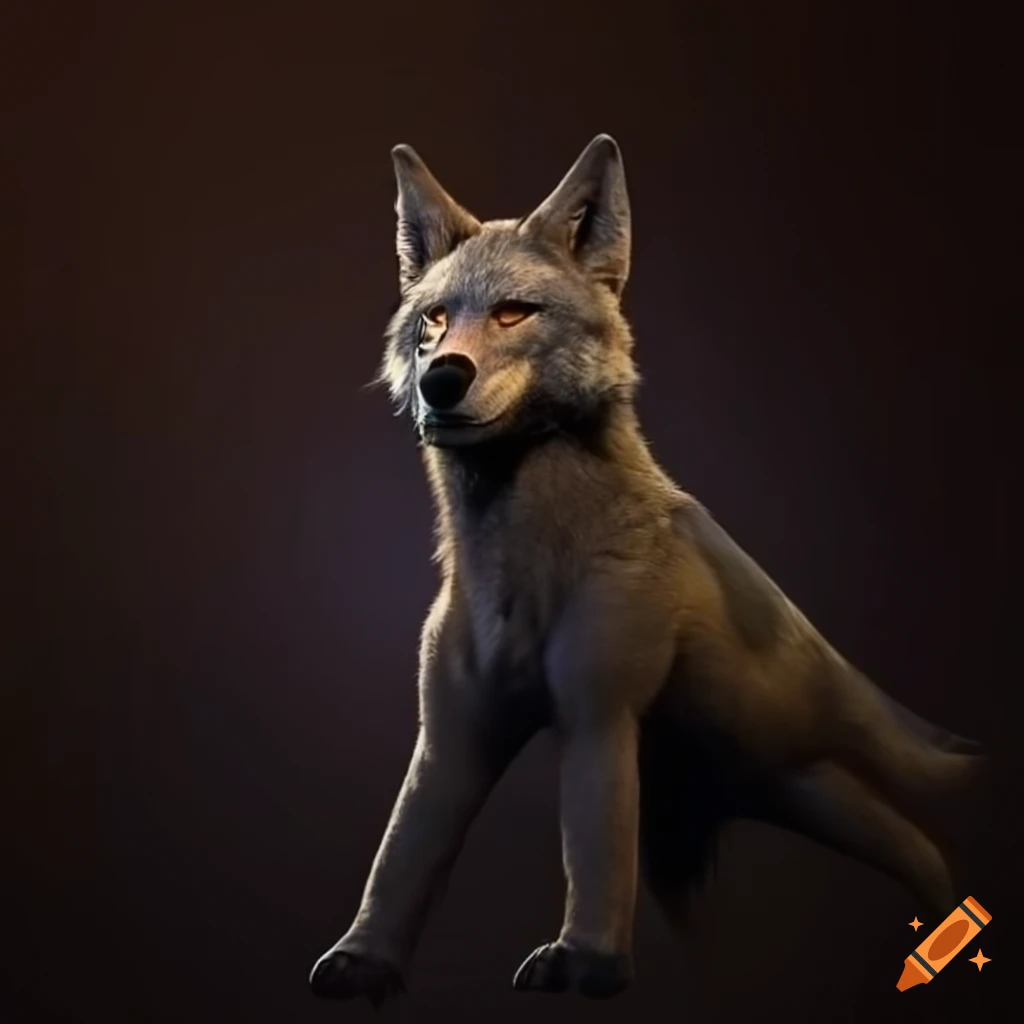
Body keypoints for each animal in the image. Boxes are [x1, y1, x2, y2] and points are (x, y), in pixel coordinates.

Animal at [309, 135, 981, 1004]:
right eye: (434, 318)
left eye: (513, 311)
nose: (441, 378)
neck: (523, 572)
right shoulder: (453, 730)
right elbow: (402, 855)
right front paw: (364, 958)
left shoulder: (599, 714)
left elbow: (593, 849)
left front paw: (587, 959)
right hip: (769, 807)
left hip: (821, 772)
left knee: (925, 840)